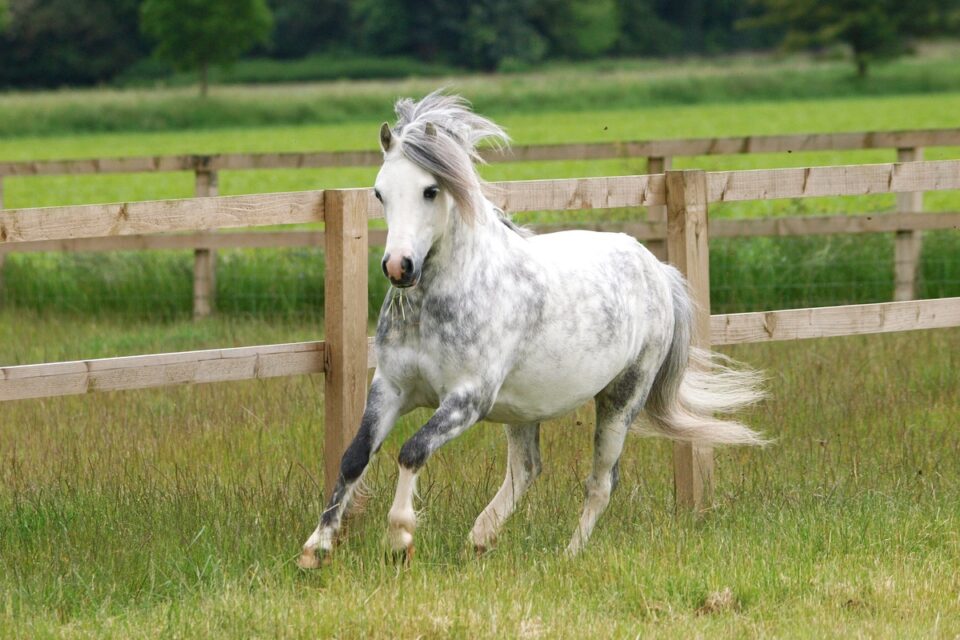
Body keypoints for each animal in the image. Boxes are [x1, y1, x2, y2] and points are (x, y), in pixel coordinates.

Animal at [298, 91, 764, 569]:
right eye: (379, 193)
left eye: (430, 190)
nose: (398, 267)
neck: (444, 299)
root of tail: (657, 268)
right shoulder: (390, 387)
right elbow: (354, 456)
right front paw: (316, 548)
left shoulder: (467, 399)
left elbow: (412, 451)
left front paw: (399, 538)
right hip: (523, 408)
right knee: (527, 469)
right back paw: (481, 538)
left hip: (622, 398)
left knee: (601, 481)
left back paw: (568, 554)